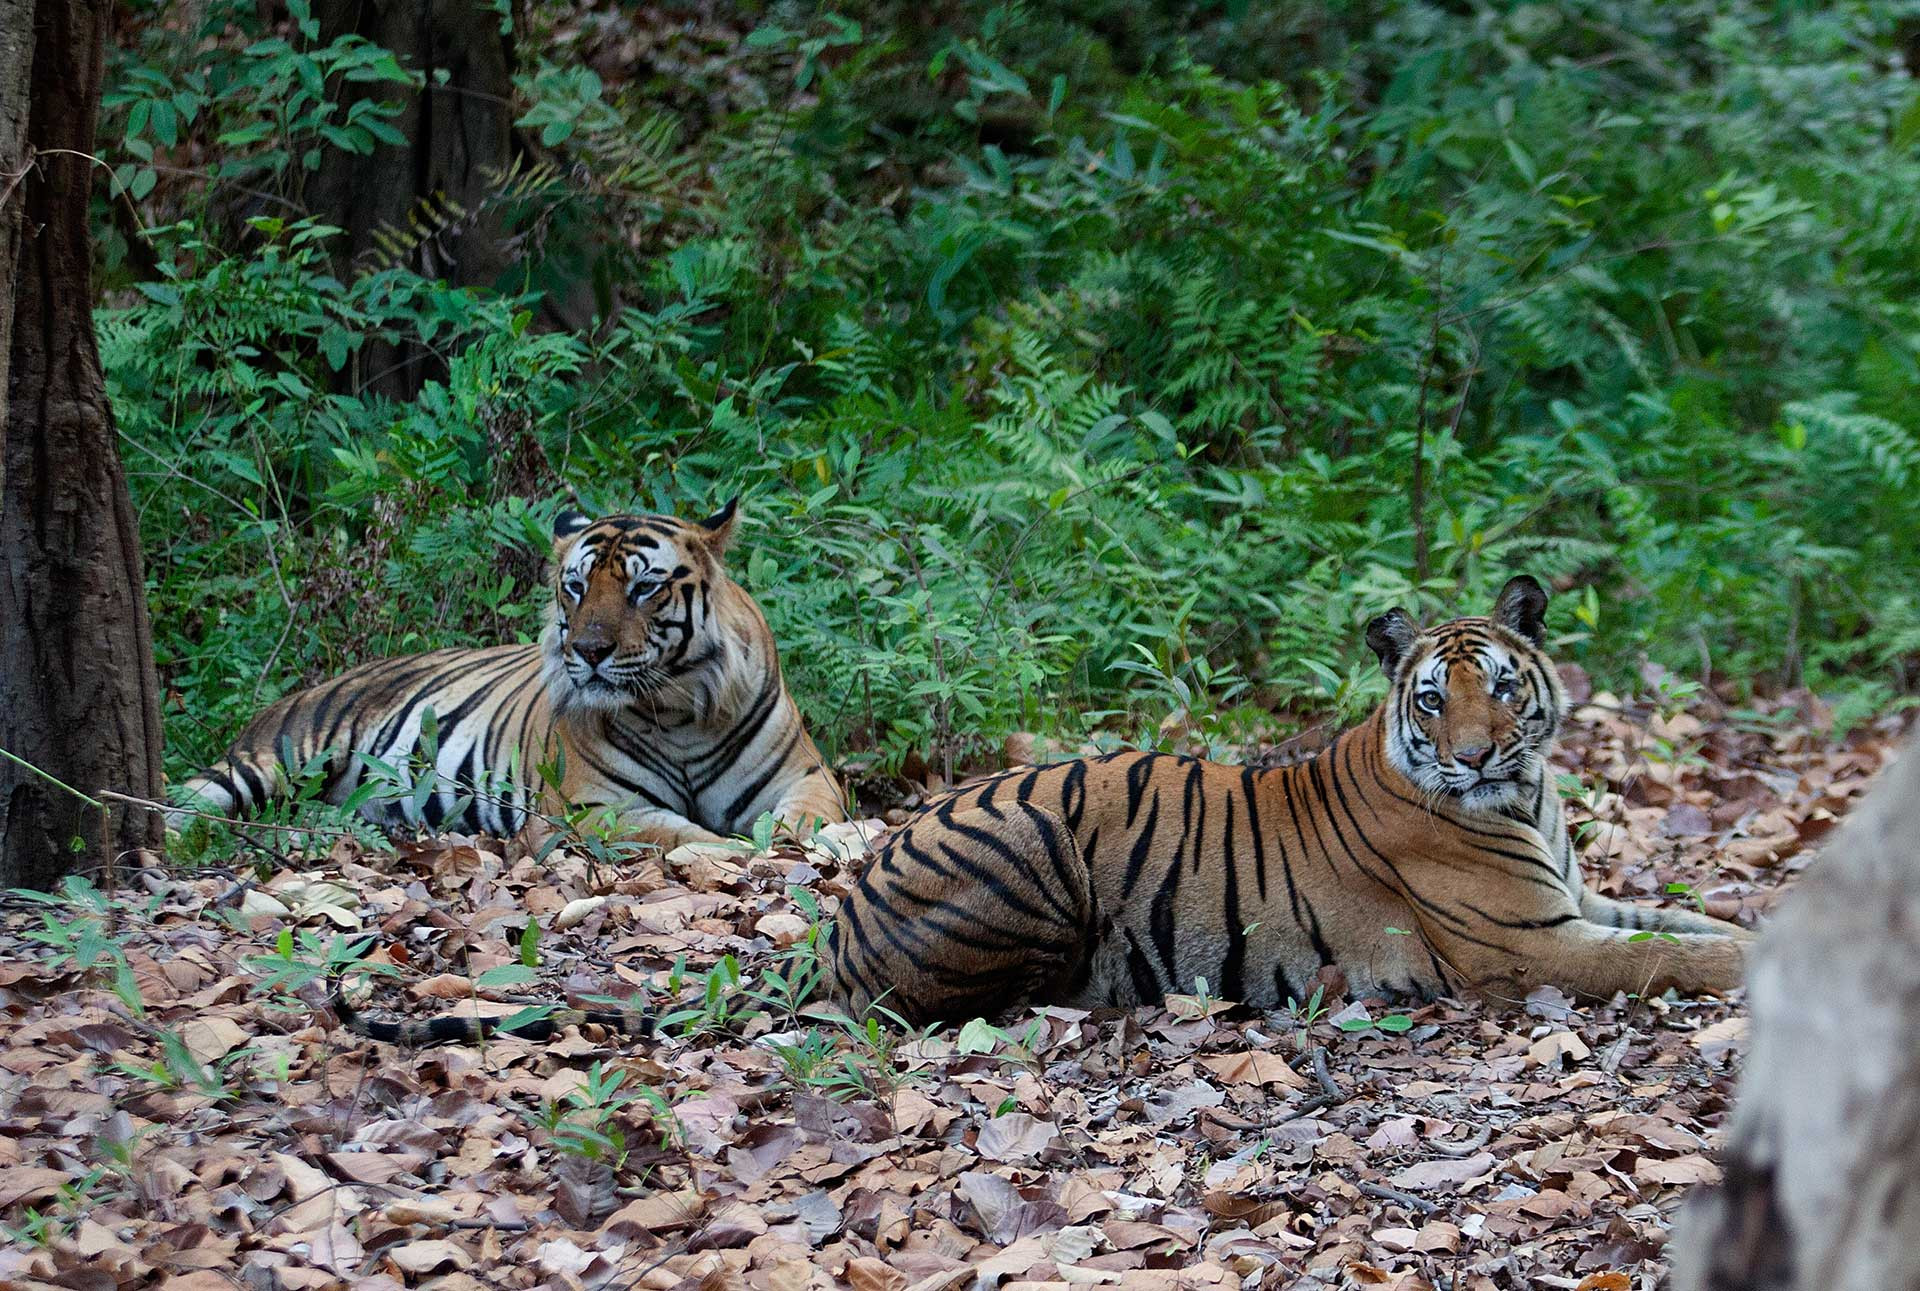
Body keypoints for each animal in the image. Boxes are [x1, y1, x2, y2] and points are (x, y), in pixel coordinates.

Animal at [169, 500, 846, 851]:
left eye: (643, 588)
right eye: (575, 588)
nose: (589, 651)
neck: (678, 711)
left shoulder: (807, 776)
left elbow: (811, 816)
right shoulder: (593, 807)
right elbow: (681, 835)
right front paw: (735, 850)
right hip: (270, 763)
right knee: (185, 805)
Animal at [331, 575, 1751, 1048]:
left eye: (1502, 688)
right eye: (1434, 696)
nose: (1471, 754)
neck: (1527, 797)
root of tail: (837, 917)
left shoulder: (1577, 895)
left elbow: (1692, 914)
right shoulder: (1529, 943)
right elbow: (1675, 952)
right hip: (1039, 841)